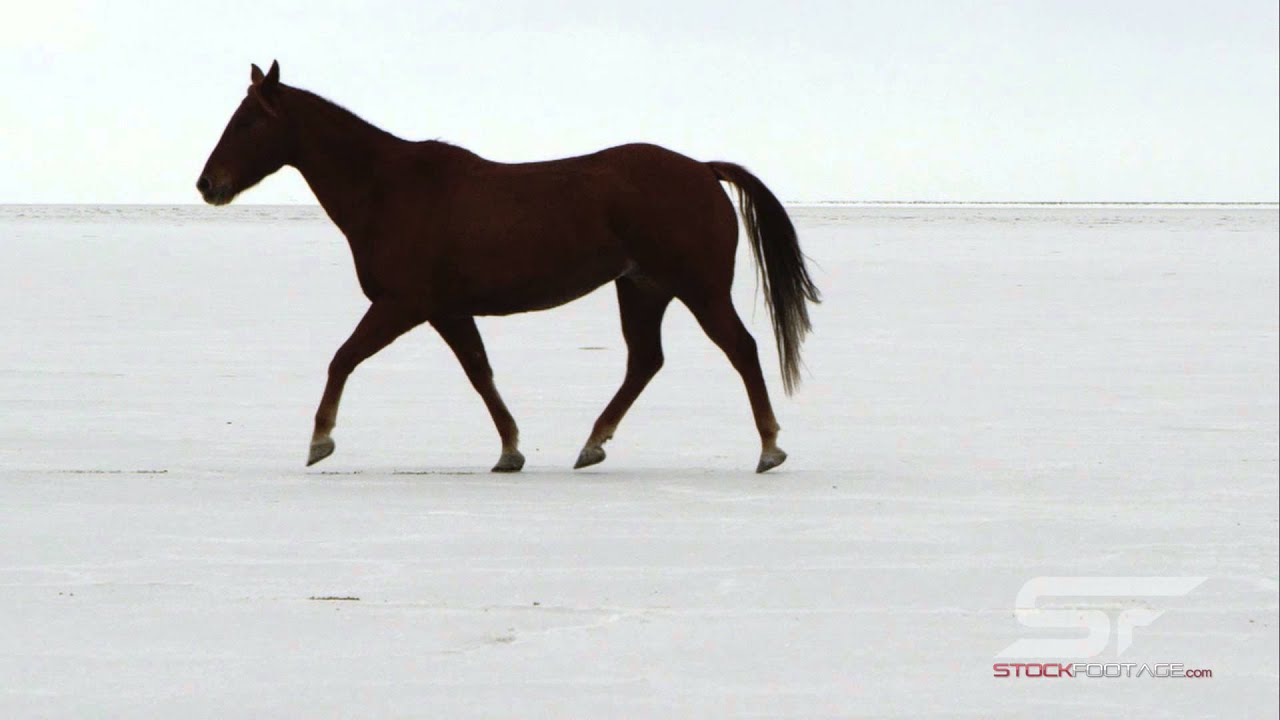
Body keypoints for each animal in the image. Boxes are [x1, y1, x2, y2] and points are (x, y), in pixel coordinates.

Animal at [196, 61, 820, 474]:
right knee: (645, 361)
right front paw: (511, 450)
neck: (389, 188)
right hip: (643, 288)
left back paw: (769, 447)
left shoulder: (402, 305)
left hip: (699, 288)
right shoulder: (447, 310)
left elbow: (343, 358)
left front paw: (320, 440)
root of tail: (702, 168)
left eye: (248, 121)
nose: (207, 184)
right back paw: (593, 443)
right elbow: (480, 374)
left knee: (741, 349)